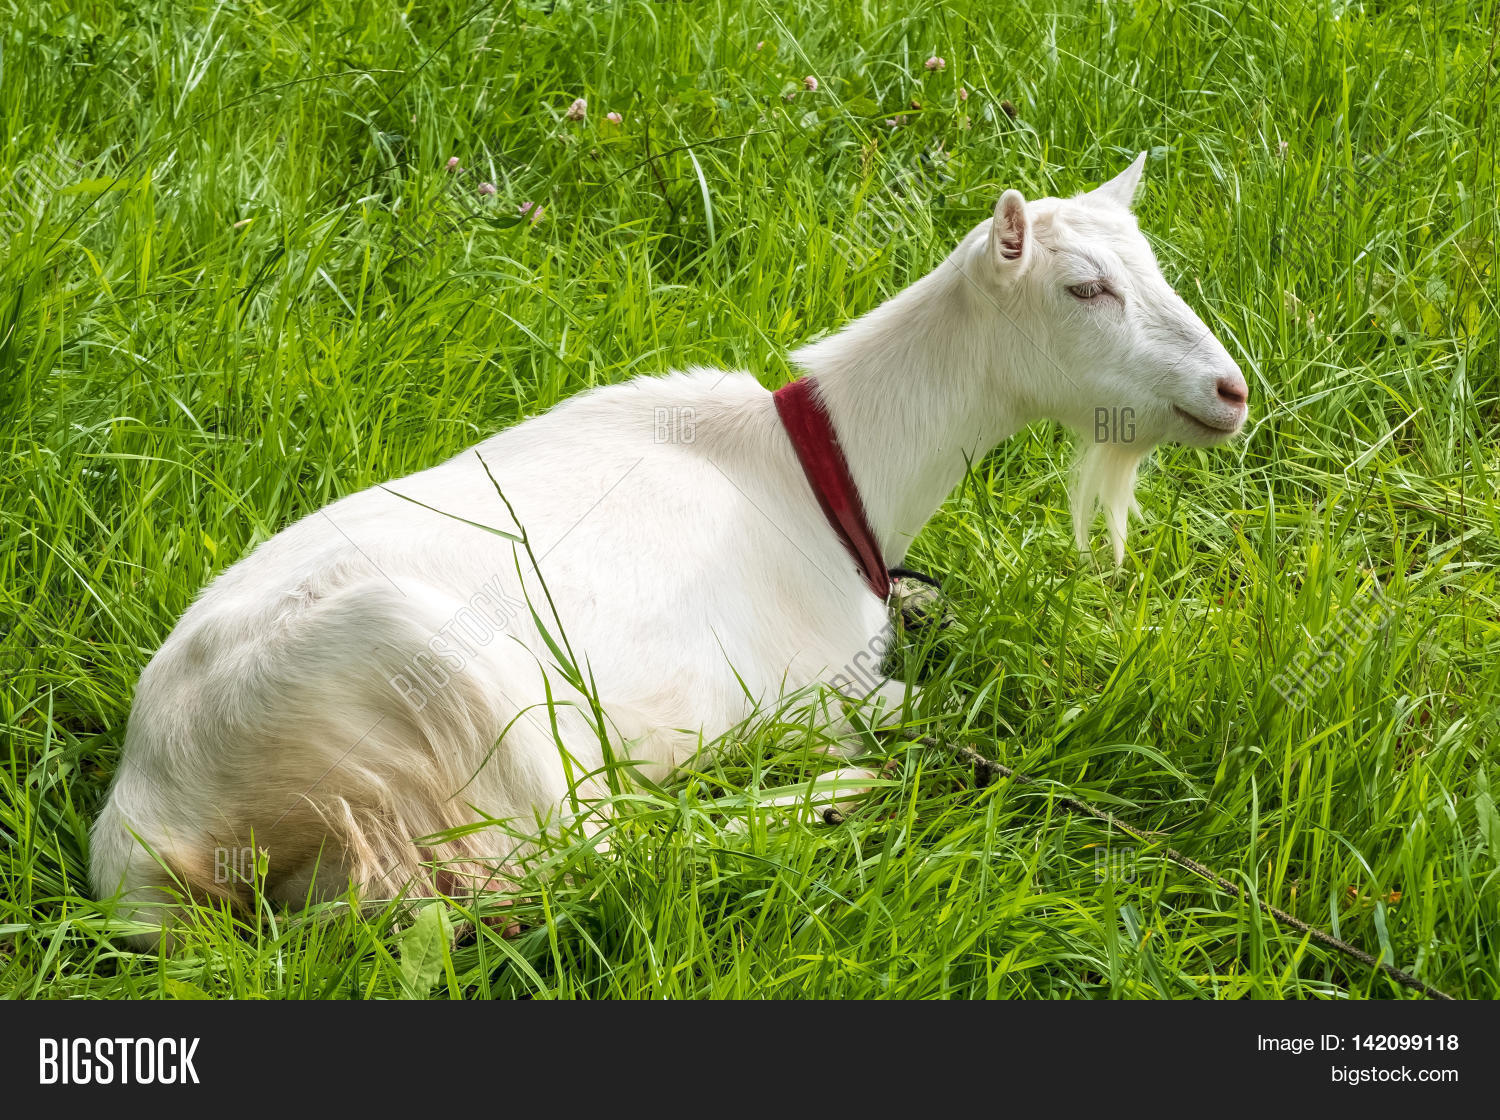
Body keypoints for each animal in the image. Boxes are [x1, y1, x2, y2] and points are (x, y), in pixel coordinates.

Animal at [91, 154, 1248, 947]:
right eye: (1085, 287)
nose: (1232, 390)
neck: (824, 471)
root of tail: (150, 827)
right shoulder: (810, 689)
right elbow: (924, 709)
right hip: (456, 694)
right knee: (591, 858)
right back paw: (835, 798)